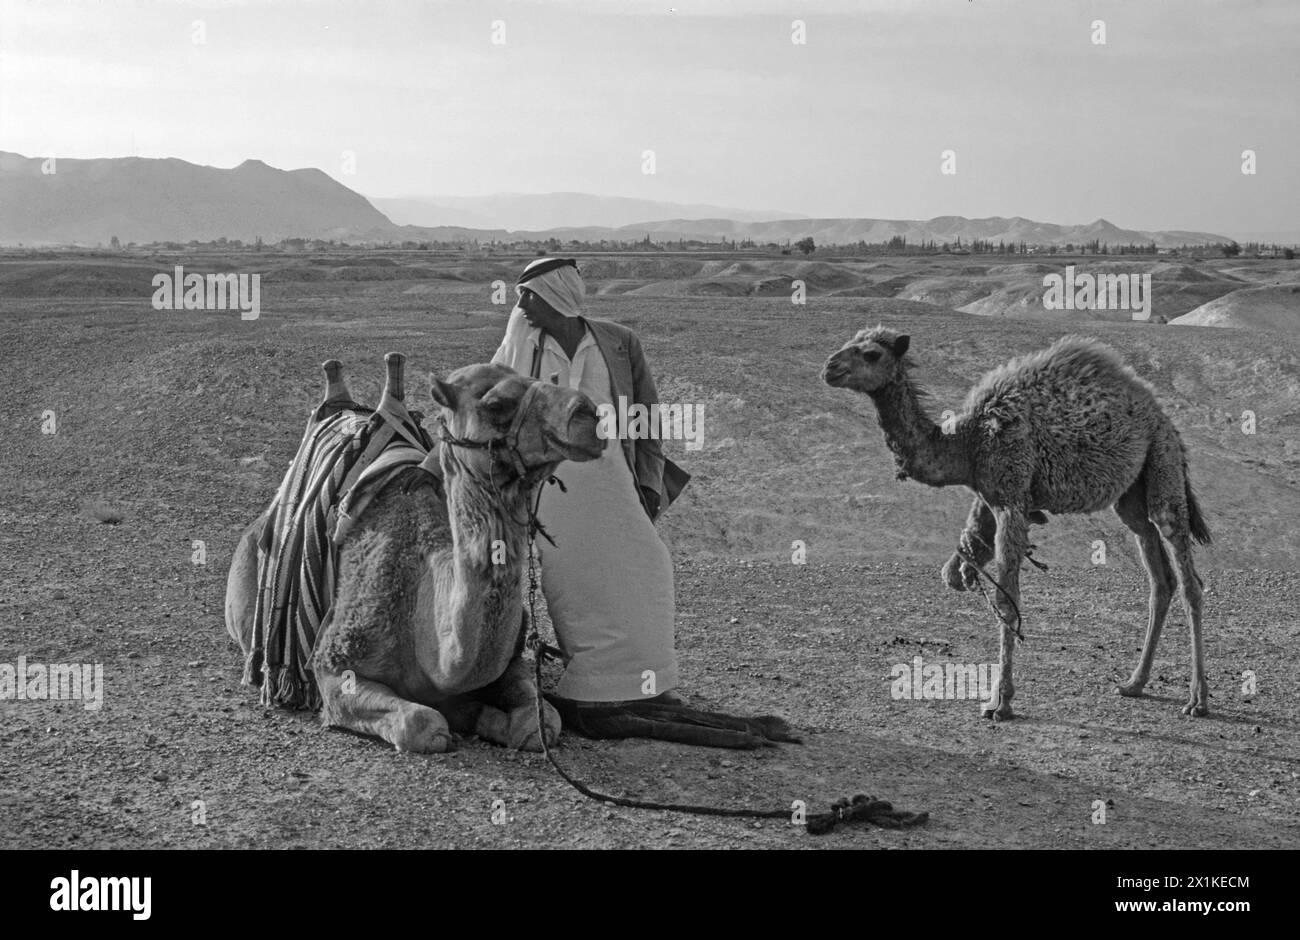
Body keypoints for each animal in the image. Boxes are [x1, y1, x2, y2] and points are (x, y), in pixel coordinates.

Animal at [226, 357, 604, 752]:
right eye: (496, 404)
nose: (587, 415)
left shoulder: (512, 659)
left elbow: (540, 722)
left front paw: (483, 714)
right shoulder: (332, 668)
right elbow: (421, 722)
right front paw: (460, 715)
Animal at [822, 327, 1211, 720]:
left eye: (871, 354)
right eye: (847, 343)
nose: (830, 368)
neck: (968, 443)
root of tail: (1165, 420)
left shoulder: (1010, 498)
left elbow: (1006, 598)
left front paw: (1000, 702)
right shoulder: (988, 498)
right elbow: (960, 572)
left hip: (1162, 461)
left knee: (1188, 577)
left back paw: (1198, 700)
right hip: (1132, 495)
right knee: (1159, 577)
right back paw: (1134, 683)